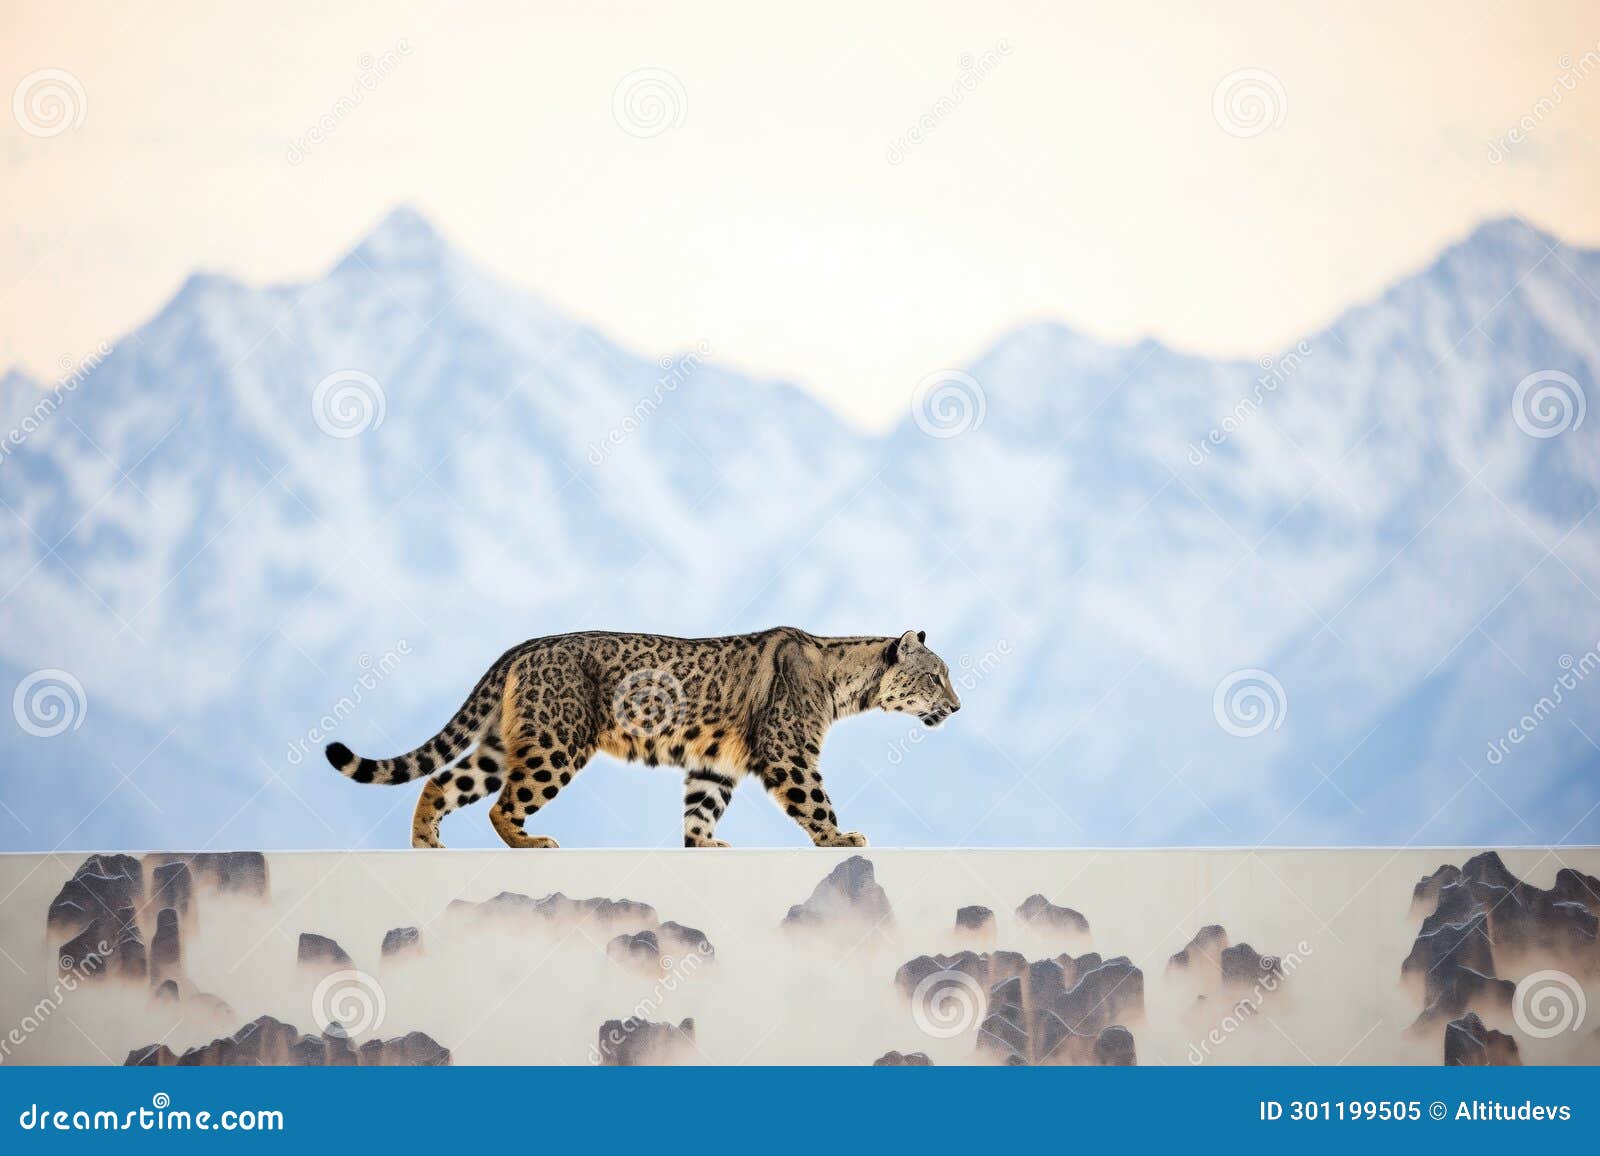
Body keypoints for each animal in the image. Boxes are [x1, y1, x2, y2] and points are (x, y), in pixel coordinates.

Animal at [324, 627, 961, 849]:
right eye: (935, 675)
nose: (956, 707)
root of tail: (523, 646)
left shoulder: (714, 762)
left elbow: (701, 808)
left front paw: (702, 845)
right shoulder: (790, 753)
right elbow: (815, 801)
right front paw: (839, 838)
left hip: (503, 746)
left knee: (442, 780)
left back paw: (426, 842)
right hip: (557, 744)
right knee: (504, 804)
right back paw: (531, 842)